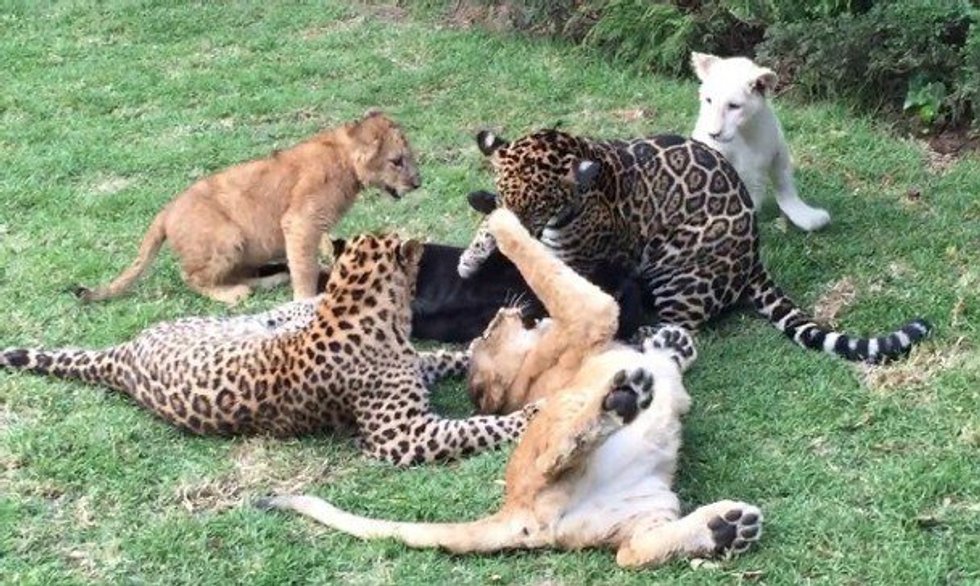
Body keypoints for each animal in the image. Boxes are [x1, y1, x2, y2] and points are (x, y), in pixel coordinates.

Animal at [1, 233, 534, 466]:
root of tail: (125, 353)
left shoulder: (418, 368)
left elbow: (444, 357)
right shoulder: (402, 436)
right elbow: (478, 427)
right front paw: (532, 412)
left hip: (248, 323)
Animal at [258, 209, 763, 569]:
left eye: (485, 335)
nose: (498, 317)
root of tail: (517, 514)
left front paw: (672, 343)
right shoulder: (591, 314)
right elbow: (545, 267)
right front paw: (499, 217)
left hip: (649, 507)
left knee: (631, 554)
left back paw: (724, 529)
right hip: (564, 446)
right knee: (553, 455)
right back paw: (618, 403)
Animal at [457, 128, 930, 364]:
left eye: (541, 205)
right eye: (507, 196)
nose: (522, 227)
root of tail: (754, 258)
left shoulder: (572, 260)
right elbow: (491, 225)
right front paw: (471, 257)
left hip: (678, 270)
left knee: (683, 328)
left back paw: (643, 333)